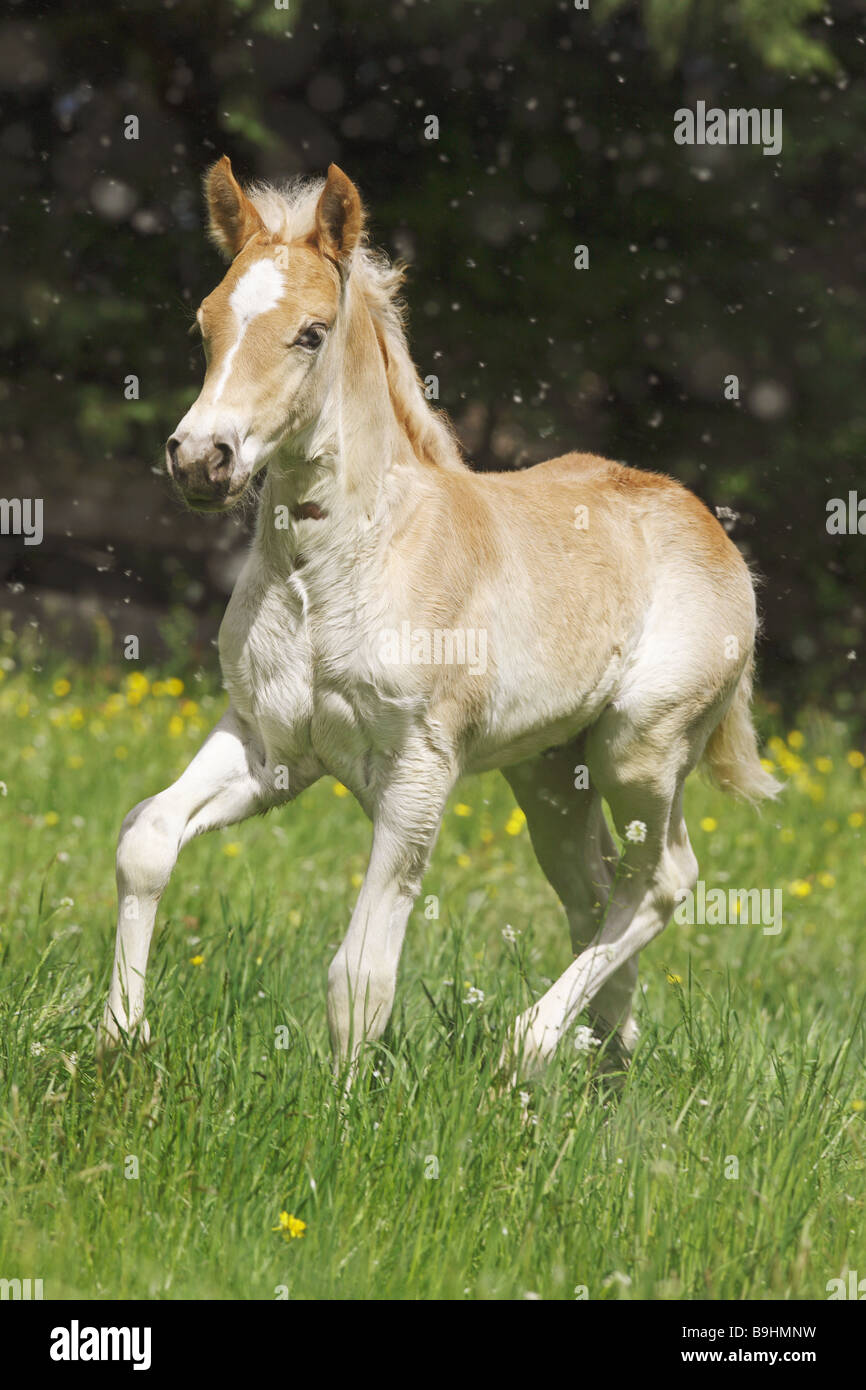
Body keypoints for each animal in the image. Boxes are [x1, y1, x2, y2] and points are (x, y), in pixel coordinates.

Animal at [98, 157, 779, 1079]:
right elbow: (148, 837)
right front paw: (116, 1040)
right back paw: (606, 1056)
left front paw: (345, 1103)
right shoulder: (268, 743)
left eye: (311, 333)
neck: (335, 571)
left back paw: (529, 1048)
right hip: (549, 773)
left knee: (662, 879)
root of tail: (708, 525)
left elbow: (360, 972)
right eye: (204, 323)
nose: (202, 459)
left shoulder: (421, 769)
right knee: (594, 888)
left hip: (640, 749)